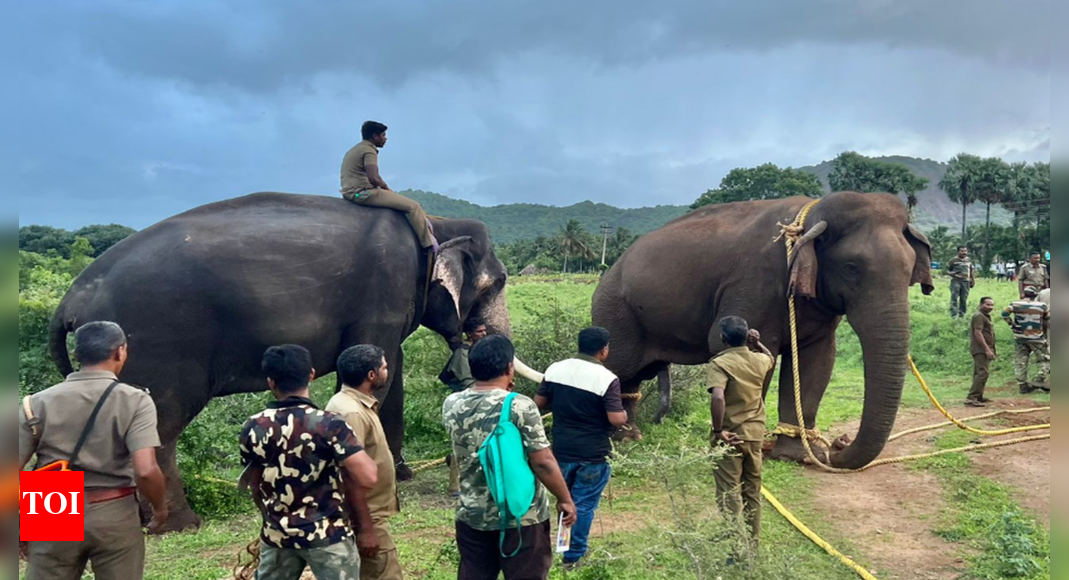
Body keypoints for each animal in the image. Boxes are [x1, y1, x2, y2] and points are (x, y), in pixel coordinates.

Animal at [48, 192, 540, 532]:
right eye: (499, 282)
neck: (433, 225)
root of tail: (70, 300)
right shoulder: (385, 289)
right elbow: (372, 376)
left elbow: (389, 368)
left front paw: (398, 473)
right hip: (157, 342)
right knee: (160, 426)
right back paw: (180, 525)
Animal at [592, 192, 934, 469]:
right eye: (852, 269)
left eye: (909, 271)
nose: (838, 444)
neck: (811, 215)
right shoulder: (754, 282)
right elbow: (740, 350)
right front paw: (740, 447)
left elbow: (817, 362)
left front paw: (798, 456)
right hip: (614, 311)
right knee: (620, 366)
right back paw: (613, 439)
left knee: (634, 375)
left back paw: (628, 436)